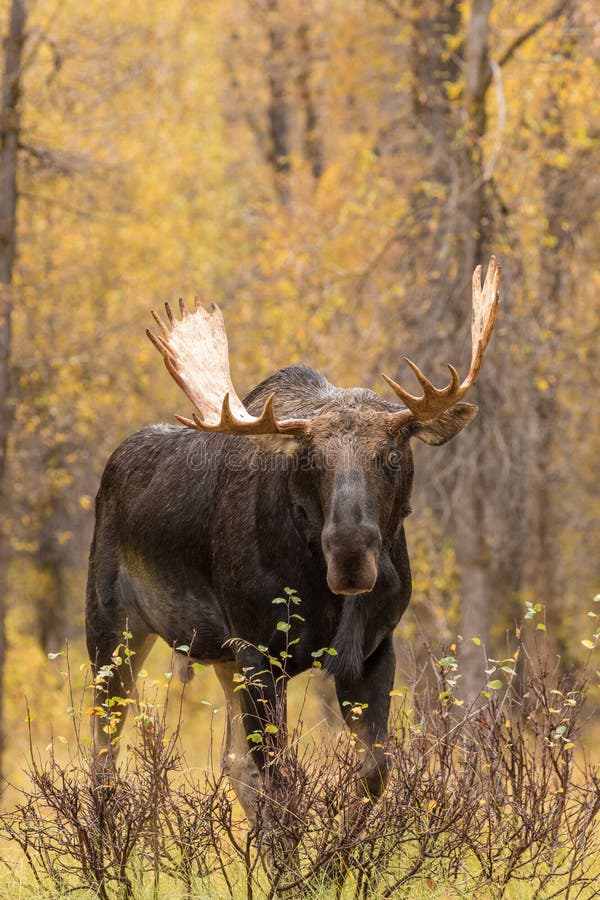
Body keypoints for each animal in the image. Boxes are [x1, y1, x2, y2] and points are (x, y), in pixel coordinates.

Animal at [86, 258, 500, 820]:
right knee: (103, 757)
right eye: (310, 459)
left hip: (219, 657)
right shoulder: (261, 655)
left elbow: (372, 769)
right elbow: (280, 785)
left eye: (391, 454)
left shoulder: (374, 648)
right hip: (112, 630)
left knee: (232, 764)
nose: (350, 554)